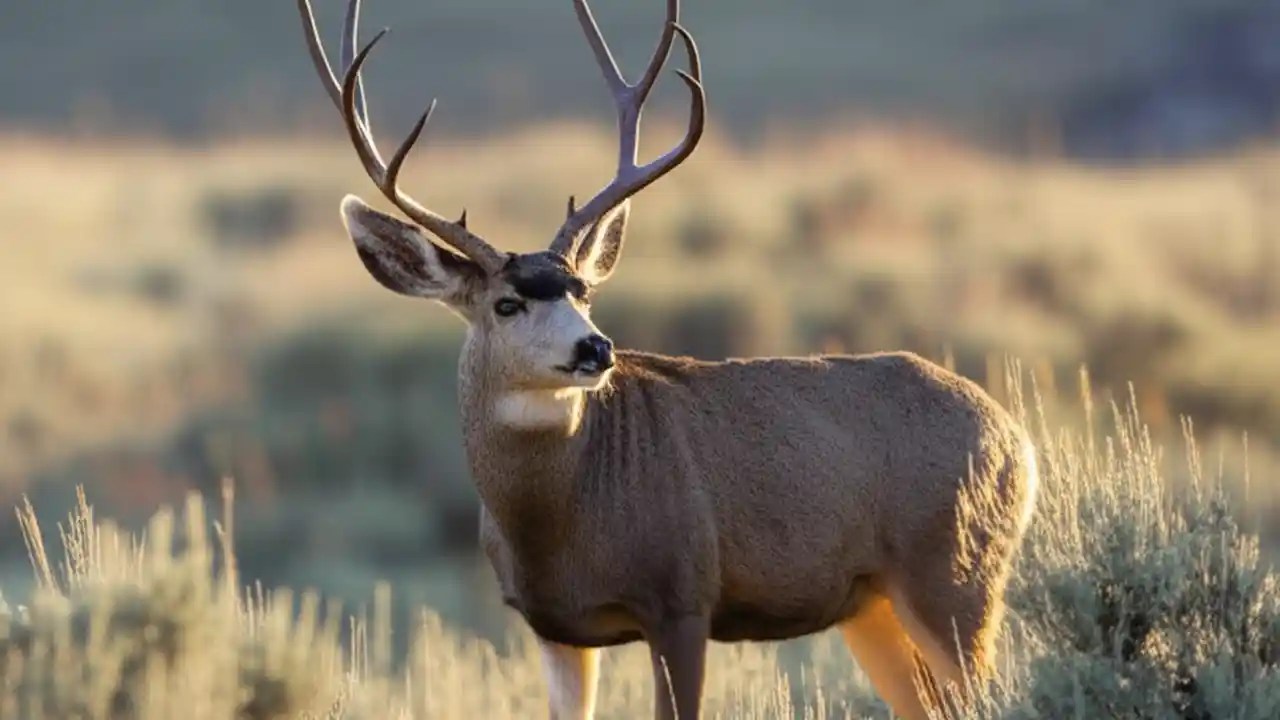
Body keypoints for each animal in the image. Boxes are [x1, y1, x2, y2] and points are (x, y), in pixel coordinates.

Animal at [295, 1, 1039, 718]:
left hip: (954, 571)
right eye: (506, 304)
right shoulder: (553, 628)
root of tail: (1018, 440)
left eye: (583, 290)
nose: (596, 348)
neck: (558, 523)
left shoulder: (681, 597)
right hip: (870, 603)